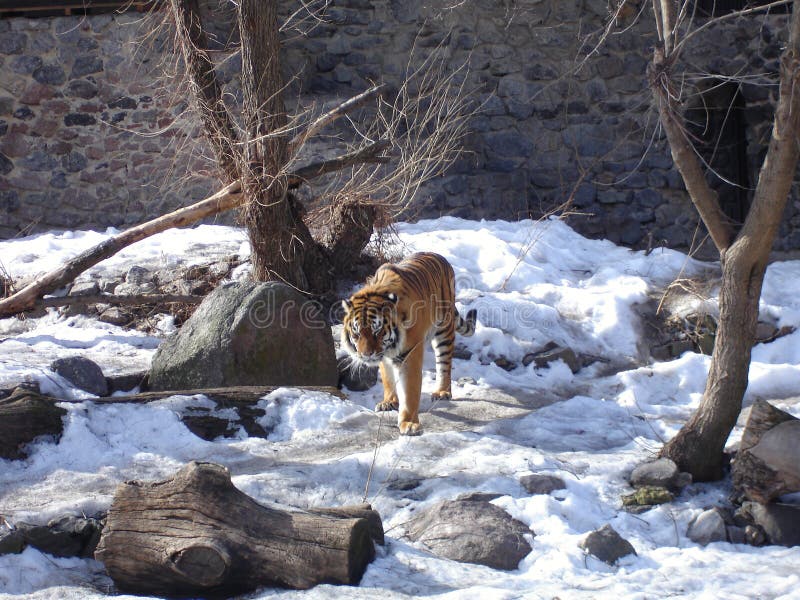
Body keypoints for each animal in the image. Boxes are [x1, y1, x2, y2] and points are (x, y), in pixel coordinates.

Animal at [341, 252, 477, 435]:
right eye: (356, 333)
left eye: (377, 331)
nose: (366, 355)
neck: (389, 347)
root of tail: (440, 257)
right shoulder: (384, 357)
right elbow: (388, 379)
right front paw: (389, 402)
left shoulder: (409, 354)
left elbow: (410, 391)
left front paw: (409, 423)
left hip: (444, 330)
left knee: (445, 364)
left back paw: (442, 392)